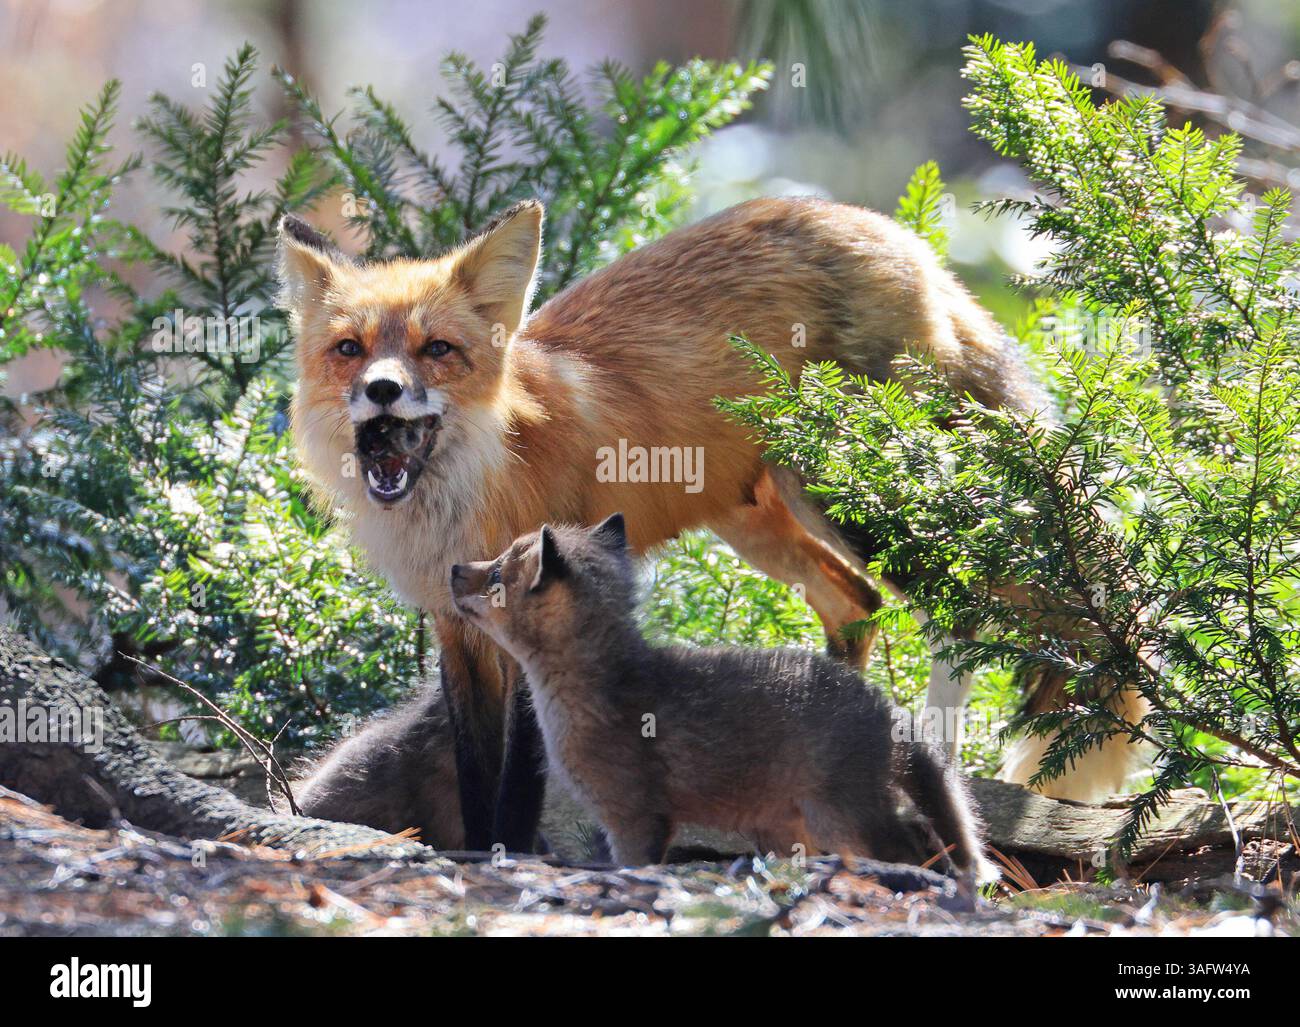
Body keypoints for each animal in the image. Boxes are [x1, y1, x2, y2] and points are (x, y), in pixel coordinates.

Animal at [449, 513, 997, 883]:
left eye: (496, 576)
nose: (454, 568)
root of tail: (886, 708)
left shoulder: (635, 818)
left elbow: (633, 866)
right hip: (787, 825)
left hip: (843, 814)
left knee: (917, 842)